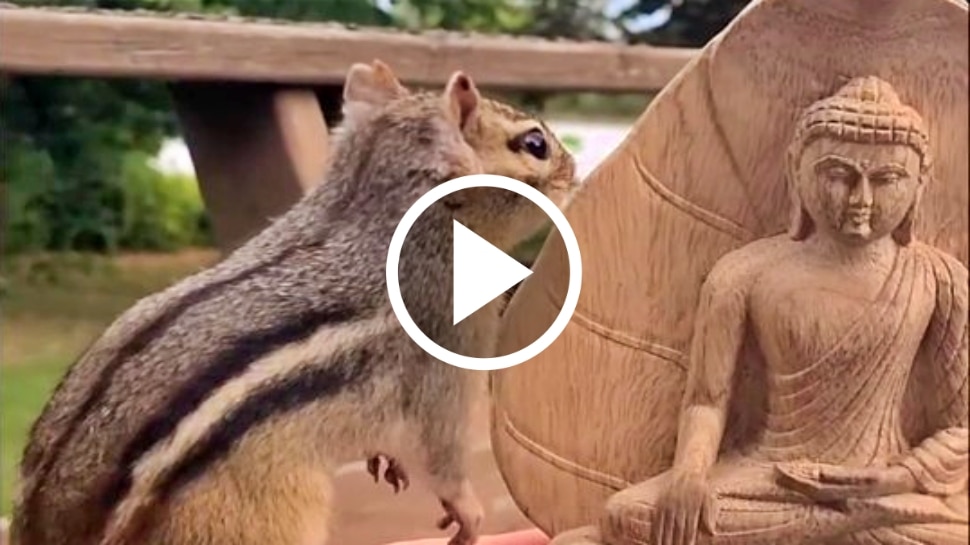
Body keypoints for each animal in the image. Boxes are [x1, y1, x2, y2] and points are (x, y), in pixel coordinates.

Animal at [9, 59, 579, 545]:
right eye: (535, 143)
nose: (575, 170)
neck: (368, 213)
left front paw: (385, 459)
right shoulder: (447, 348)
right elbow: (444, 449)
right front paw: (467, 509)